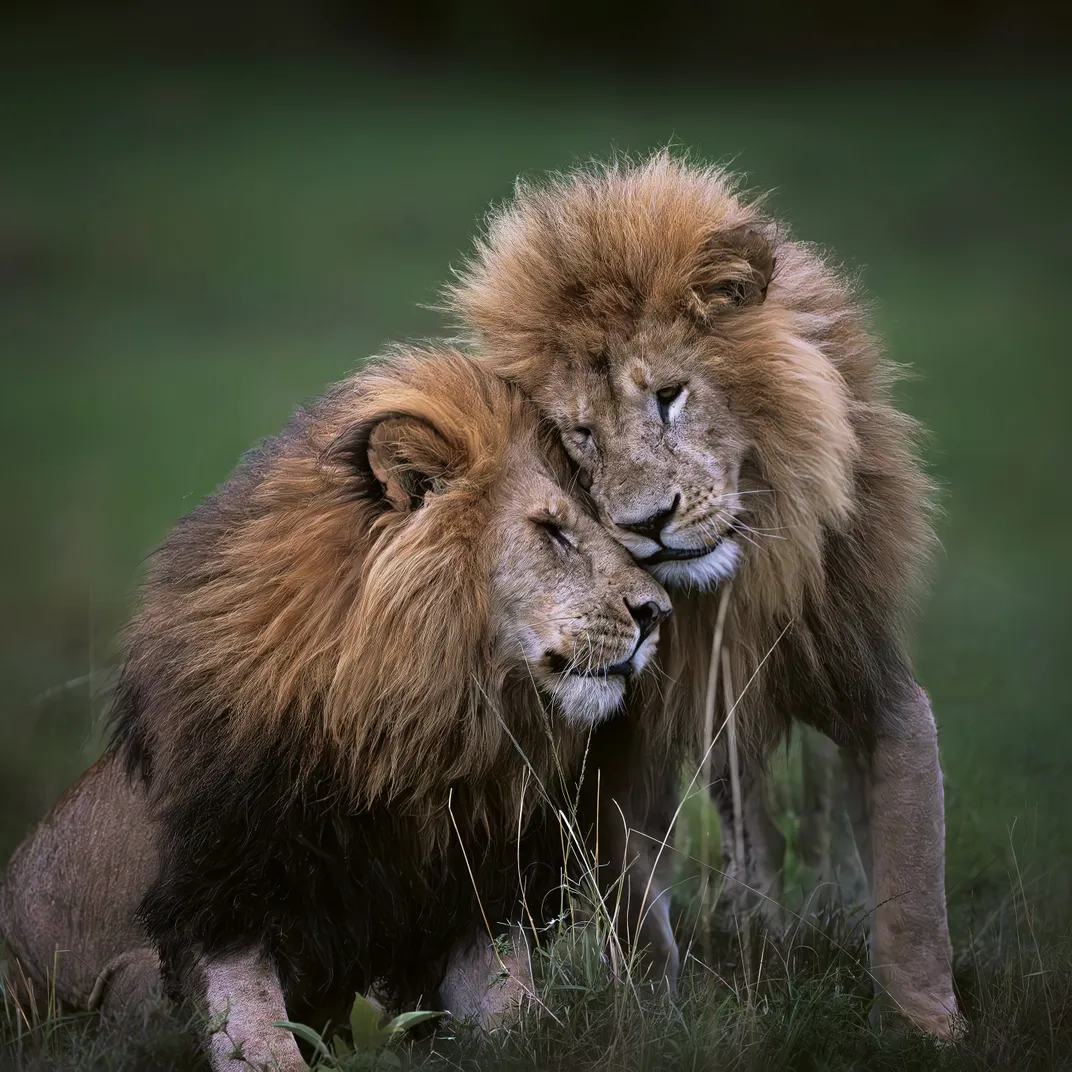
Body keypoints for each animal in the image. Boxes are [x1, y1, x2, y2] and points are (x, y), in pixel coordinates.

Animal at [1, 345, 674, 1070]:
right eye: (551, 530)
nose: (656, 613)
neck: (407, 742)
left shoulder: (480, 893)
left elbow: (517, 1019)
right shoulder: (218, 897)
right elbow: (256, 1032)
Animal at [446, 152, 960, 1036]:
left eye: (670, 395)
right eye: (582, 434)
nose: (647, 525)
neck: (727, 591)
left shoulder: (874, 689)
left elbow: (910, 892)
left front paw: (929, 1027)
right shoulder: (622, 740)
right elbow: (634, 904)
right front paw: (657, 1012)